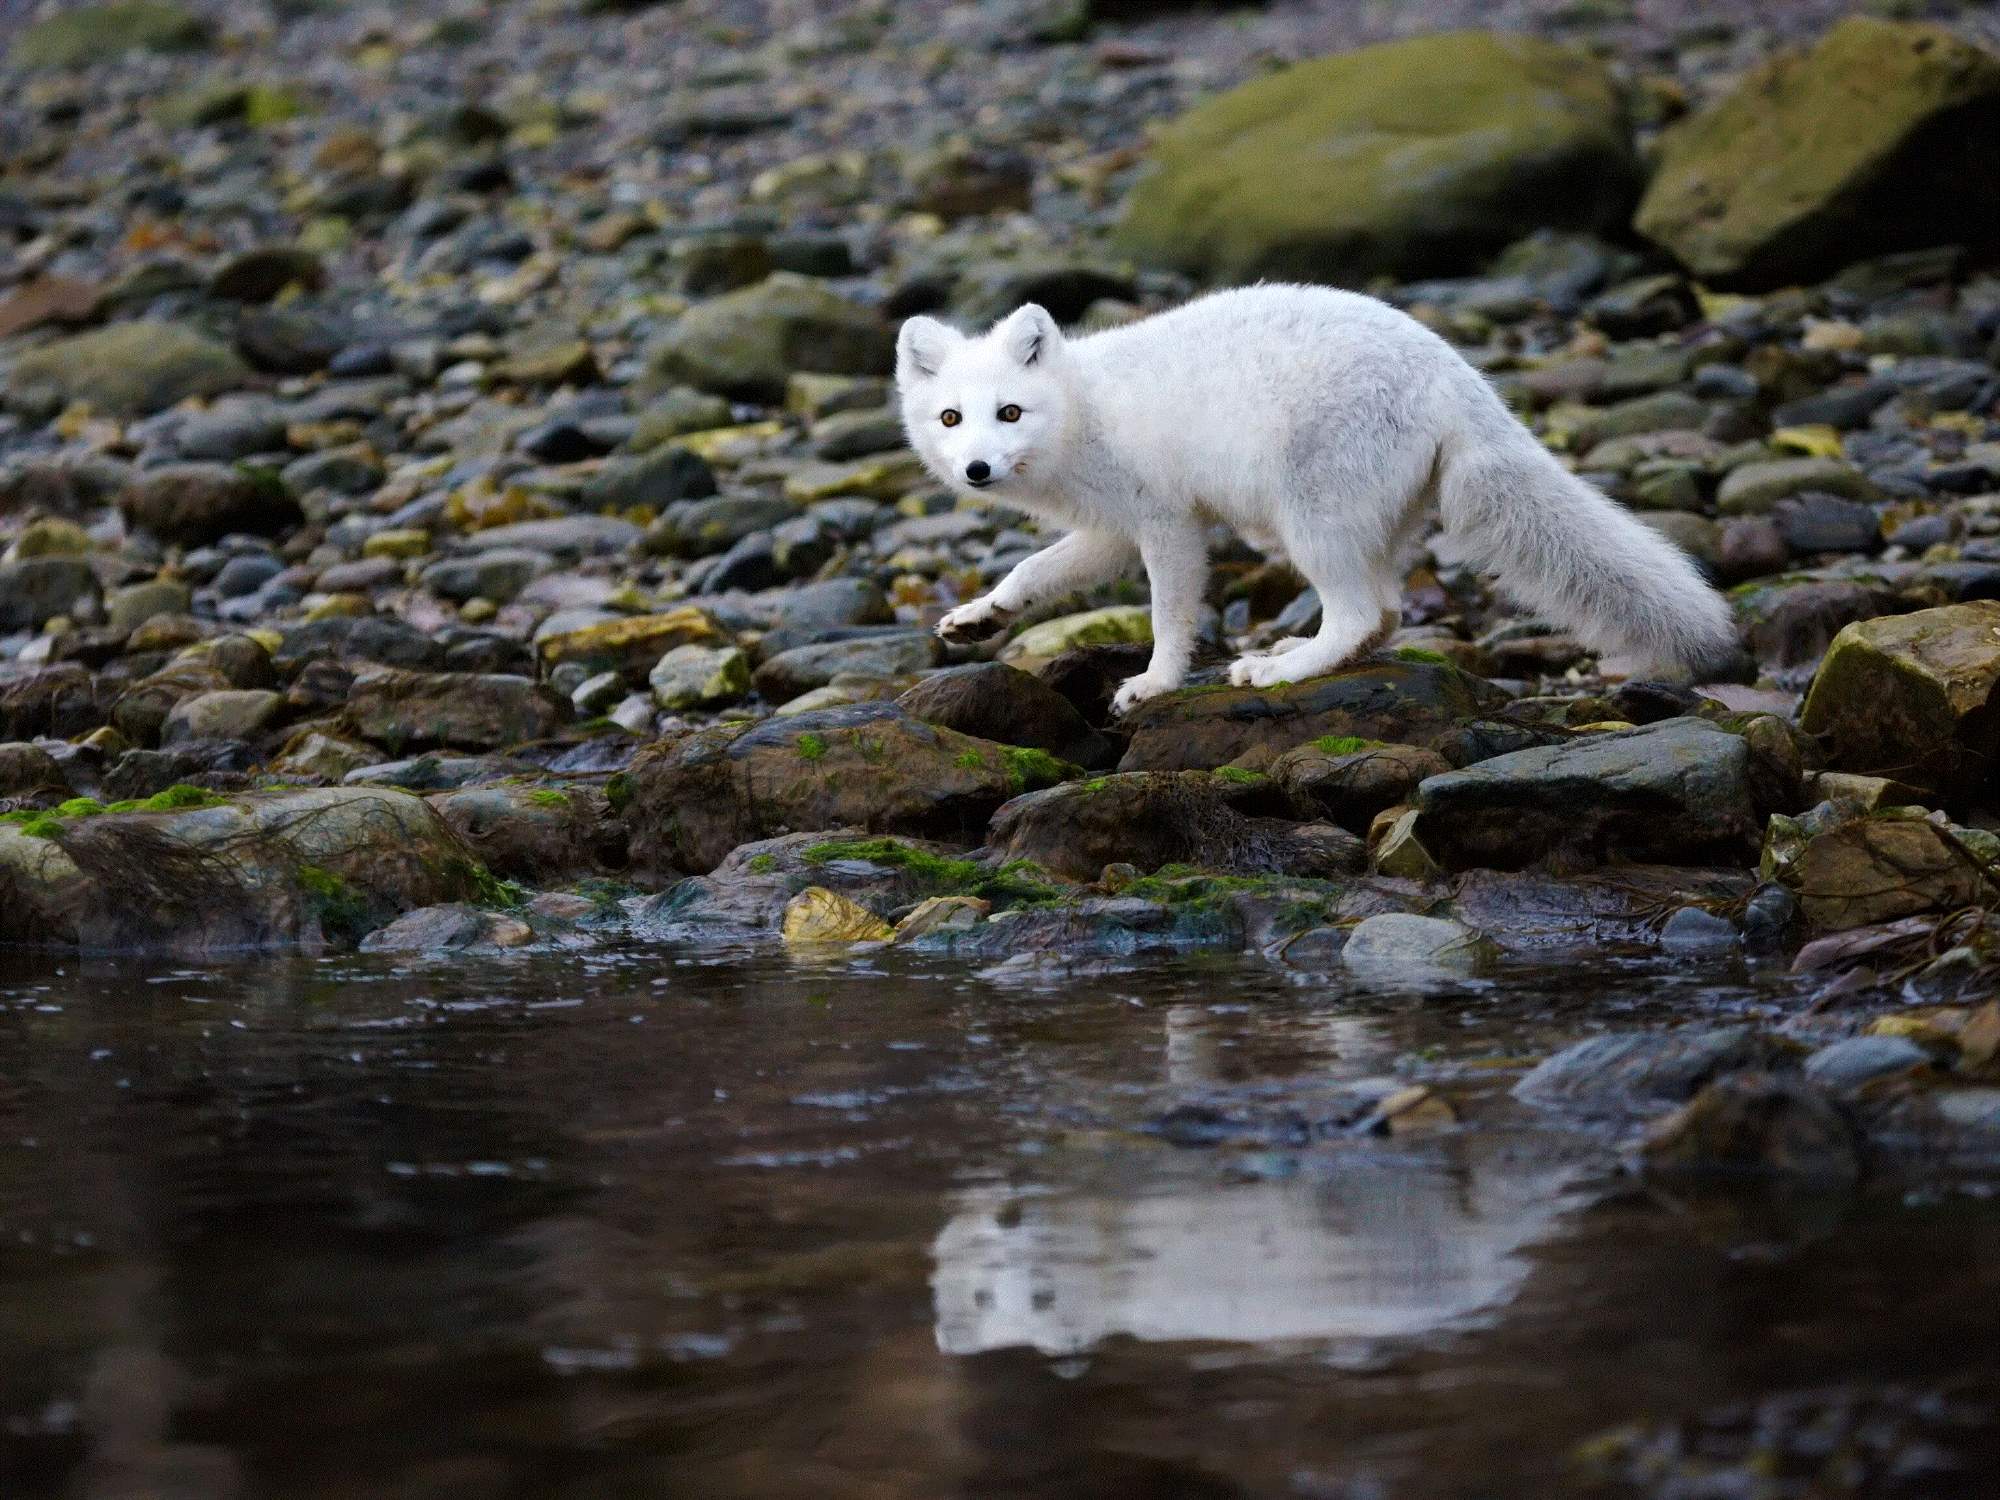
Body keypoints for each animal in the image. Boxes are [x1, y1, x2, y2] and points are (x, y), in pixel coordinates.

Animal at [895, 284, 1737, 716]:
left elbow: (1168, 616)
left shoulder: (1167, 522)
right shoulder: (1112, 530)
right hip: (1369, 523)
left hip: (1309, 519)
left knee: (1362, 612)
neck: (1081, 407)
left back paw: (1281, 670)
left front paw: (1155, 683)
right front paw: (978, 618)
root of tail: (1456, 375)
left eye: (1010, 412)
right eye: (951, 418)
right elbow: (1032, 572)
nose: (976, 469)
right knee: (1388, 614)